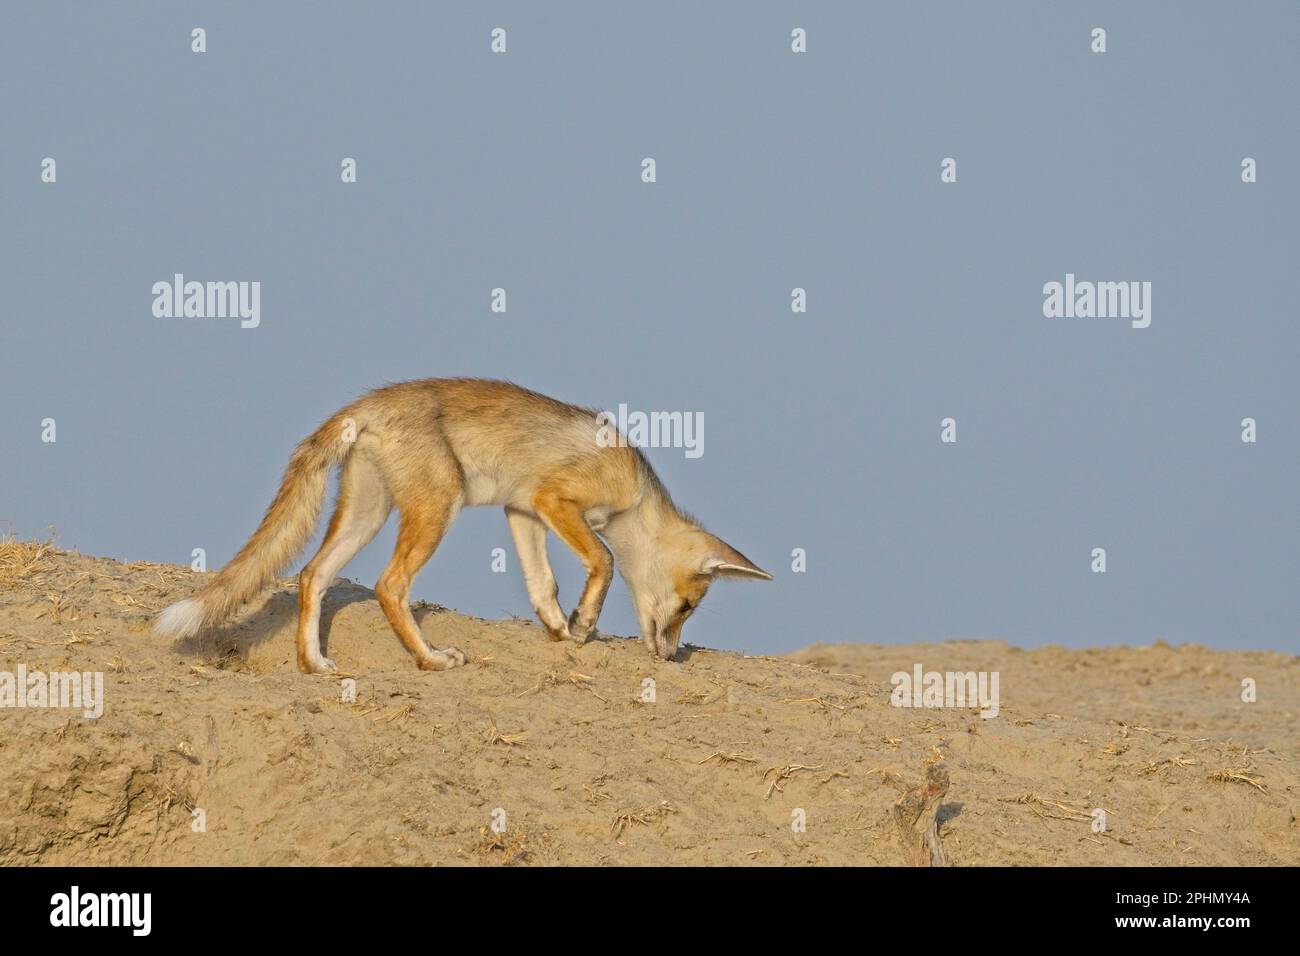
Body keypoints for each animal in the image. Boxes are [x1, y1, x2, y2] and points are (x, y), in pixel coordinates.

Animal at [154, 378, 772, 673]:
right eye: (688, 607)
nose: (669, 657)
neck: (636, 492)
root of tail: (367, 402)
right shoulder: (554, 499)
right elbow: (605, 560)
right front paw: (583, 621)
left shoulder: (523, 511)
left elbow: (542, 584)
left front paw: (558, 627)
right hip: (436, 508)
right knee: (389, 586)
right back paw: (428, 660)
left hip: (368, 514)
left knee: (312, 576)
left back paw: (313, 664)